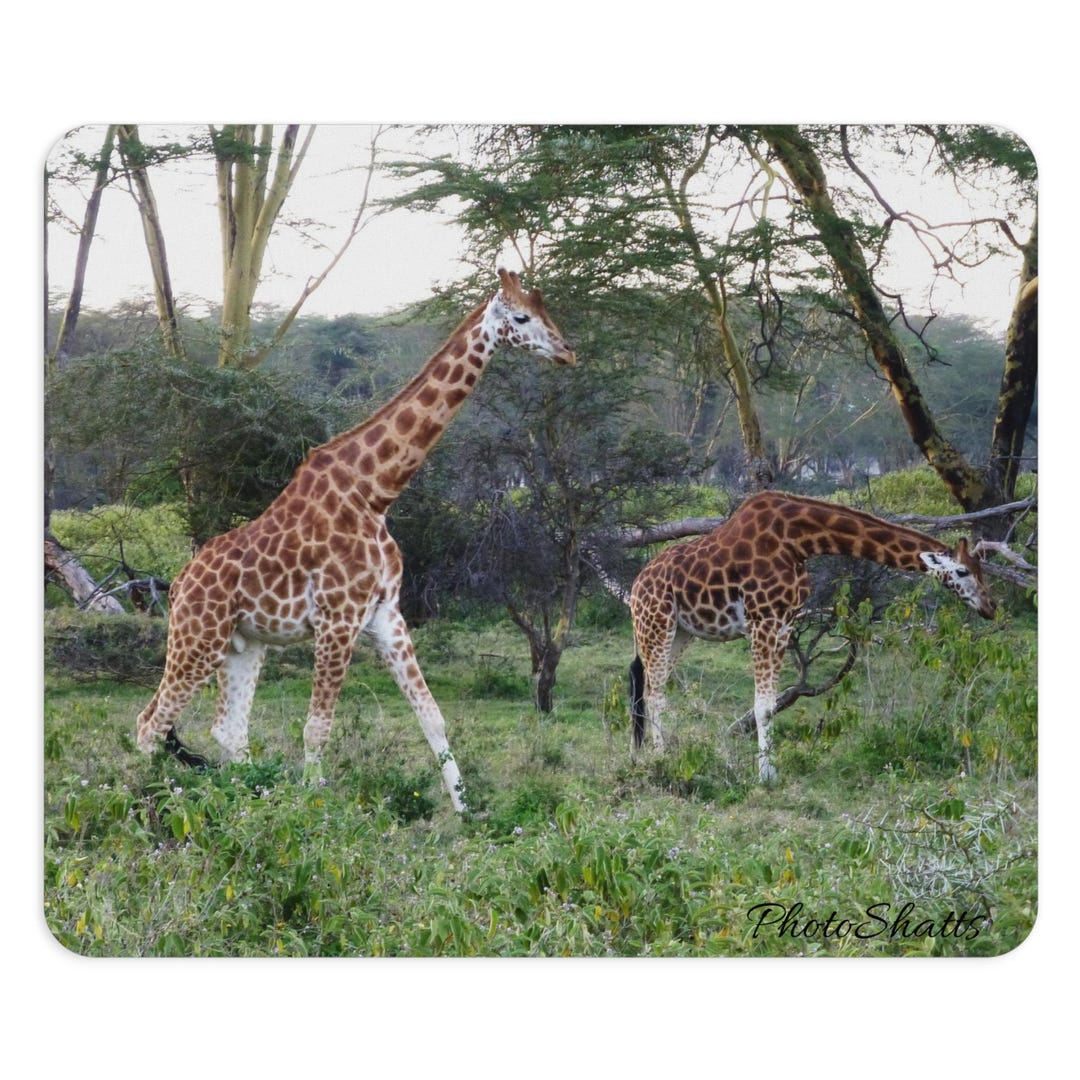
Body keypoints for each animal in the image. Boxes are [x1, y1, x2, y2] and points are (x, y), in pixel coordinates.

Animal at [136, 269, 575, 811]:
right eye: (521, 317)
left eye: (544, 308)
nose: (567, 352)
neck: (375, 491)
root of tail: (178, 585)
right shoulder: (338, 619)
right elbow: (316, 729)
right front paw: (314, 812)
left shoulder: (387, 615)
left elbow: (433, 717)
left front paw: (468, 814)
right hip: (198, 638)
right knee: (150, 723)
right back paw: (150, 804)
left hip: (245, 644)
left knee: (228, 729)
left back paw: (250, 805)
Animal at [628, 491, 996, 783]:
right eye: (962, 571)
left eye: (982, 570)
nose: (990, 607)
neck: (799, 540)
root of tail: (637, 585)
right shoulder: (763, 619)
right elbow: (763, 706)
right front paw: (765, 777)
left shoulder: (785, 622)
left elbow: (771, 705)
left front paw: (769, 771)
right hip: (657, 621)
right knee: (654, 691)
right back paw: (660, 757)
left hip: (682, 632)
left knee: (649, 685)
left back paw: (649, 751)